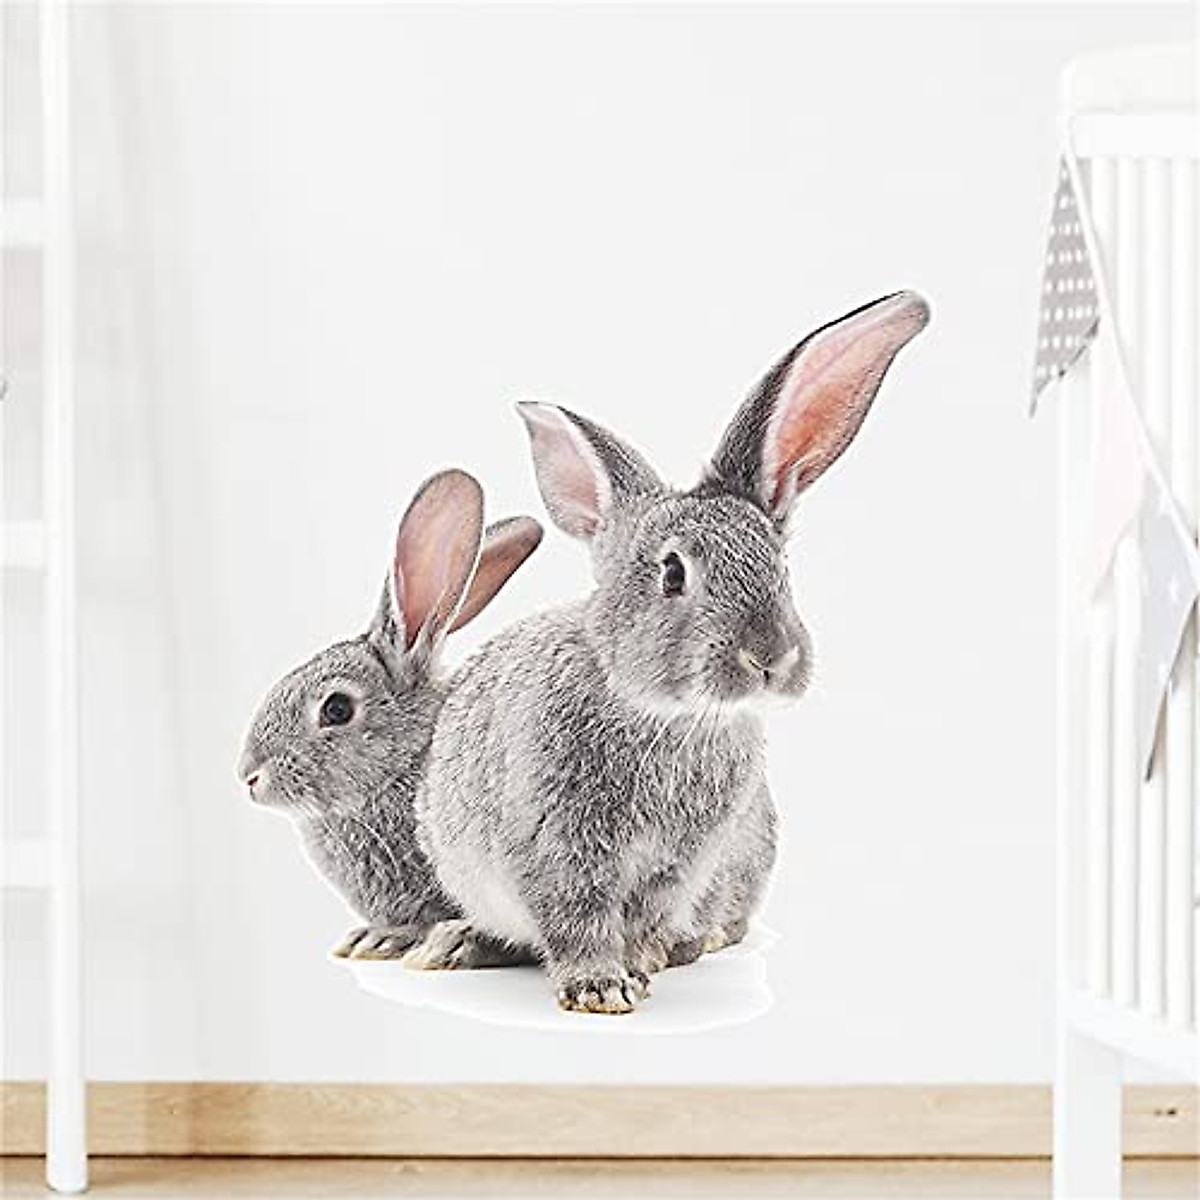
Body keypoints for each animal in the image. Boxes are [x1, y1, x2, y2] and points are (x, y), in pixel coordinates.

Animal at [416, 292, 930, 1012]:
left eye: (781, 571)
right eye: (672, 574)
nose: (769, 658)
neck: (668, 715)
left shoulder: (677, 864)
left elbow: (641, 918)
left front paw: (636, 968)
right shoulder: (556, 848)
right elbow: (576, 917)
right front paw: (599, 987)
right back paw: (456, 944)